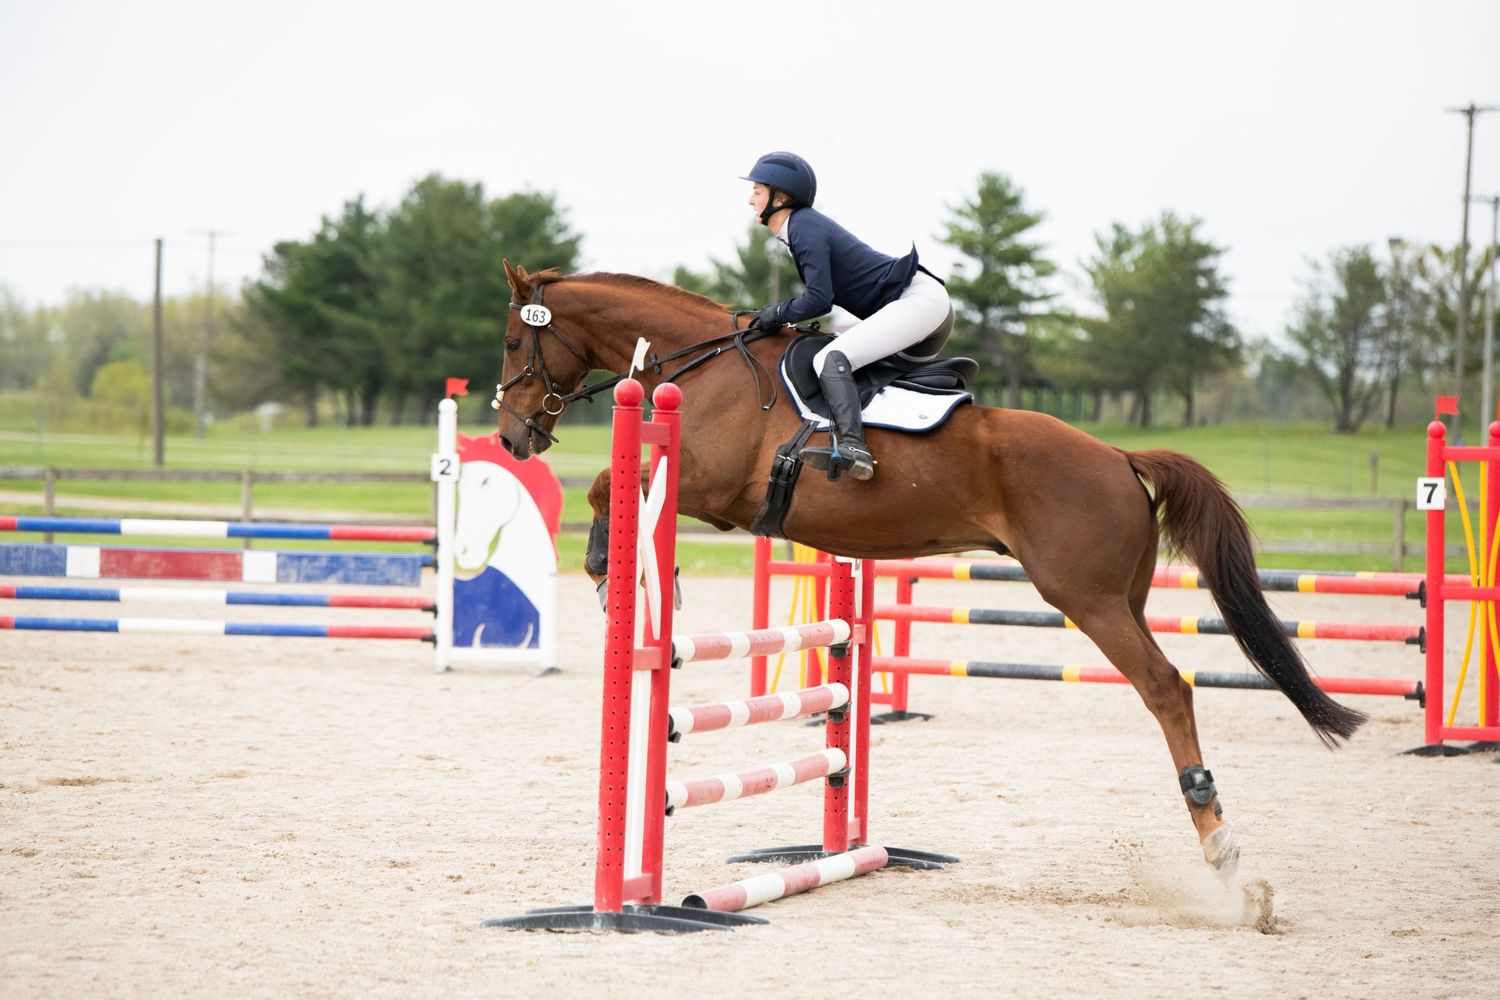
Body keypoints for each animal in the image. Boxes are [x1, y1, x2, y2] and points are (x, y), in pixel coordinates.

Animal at [491, 260, 1367, 876]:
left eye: (510, 342)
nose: (510, 437)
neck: (709, 365)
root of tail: (1120, 455)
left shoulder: (712, 488)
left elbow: (606, 484)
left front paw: (609, 569)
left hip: (1086, 598)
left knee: (1166, 688)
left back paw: (1216, 837)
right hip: (1127, 594)